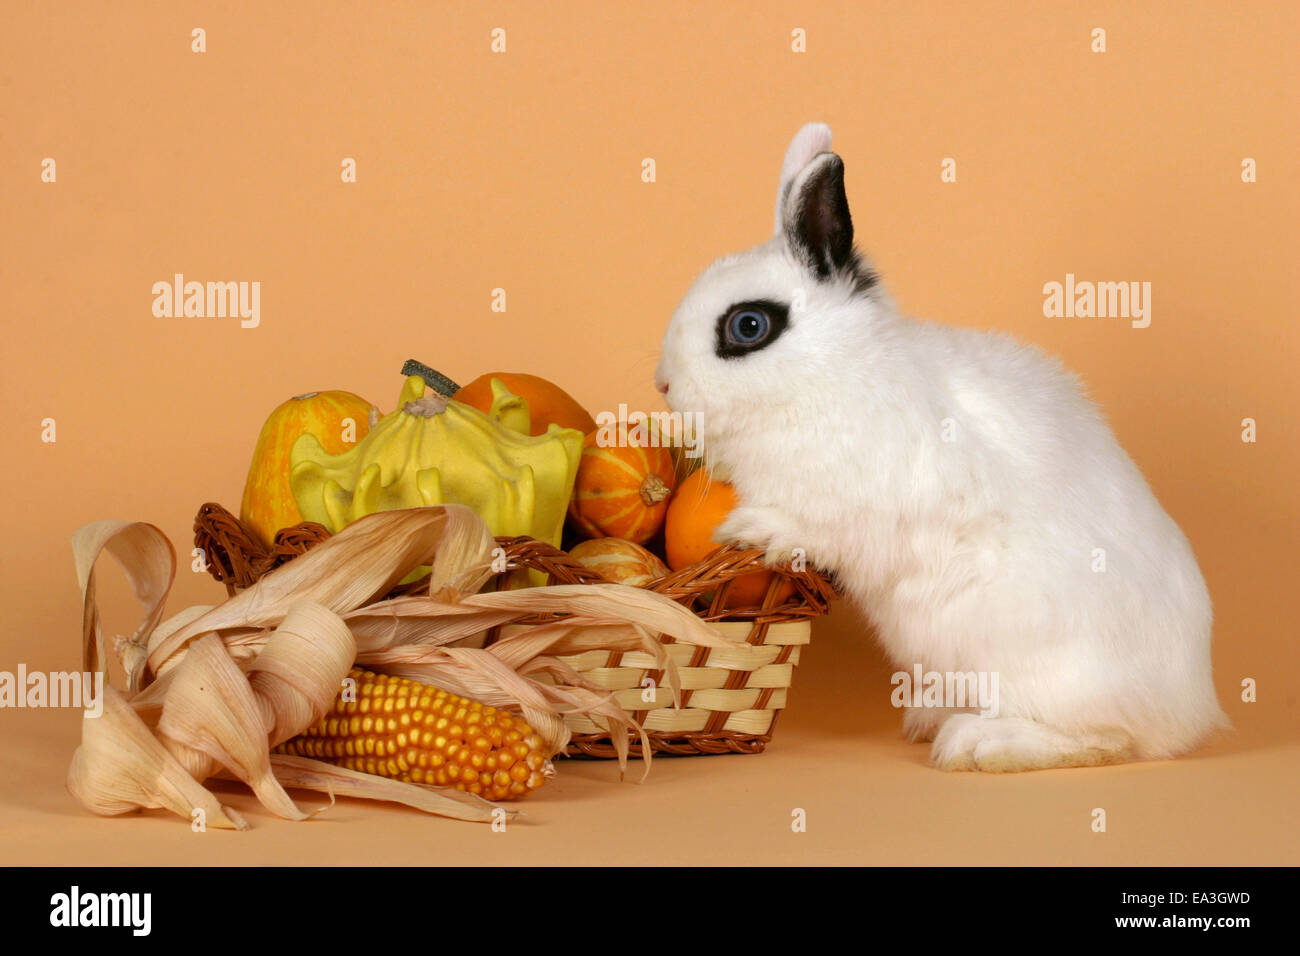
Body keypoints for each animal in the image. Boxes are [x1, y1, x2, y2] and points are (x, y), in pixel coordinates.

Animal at [654, 123, 1228, 771]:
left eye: (748, 326)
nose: (664, 384)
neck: (833, 376)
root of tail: (1191, 711)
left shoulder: (863, 506)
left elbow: (812, 528)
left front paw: (752, 530)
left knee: (1106, 738)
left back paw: (977, 743)